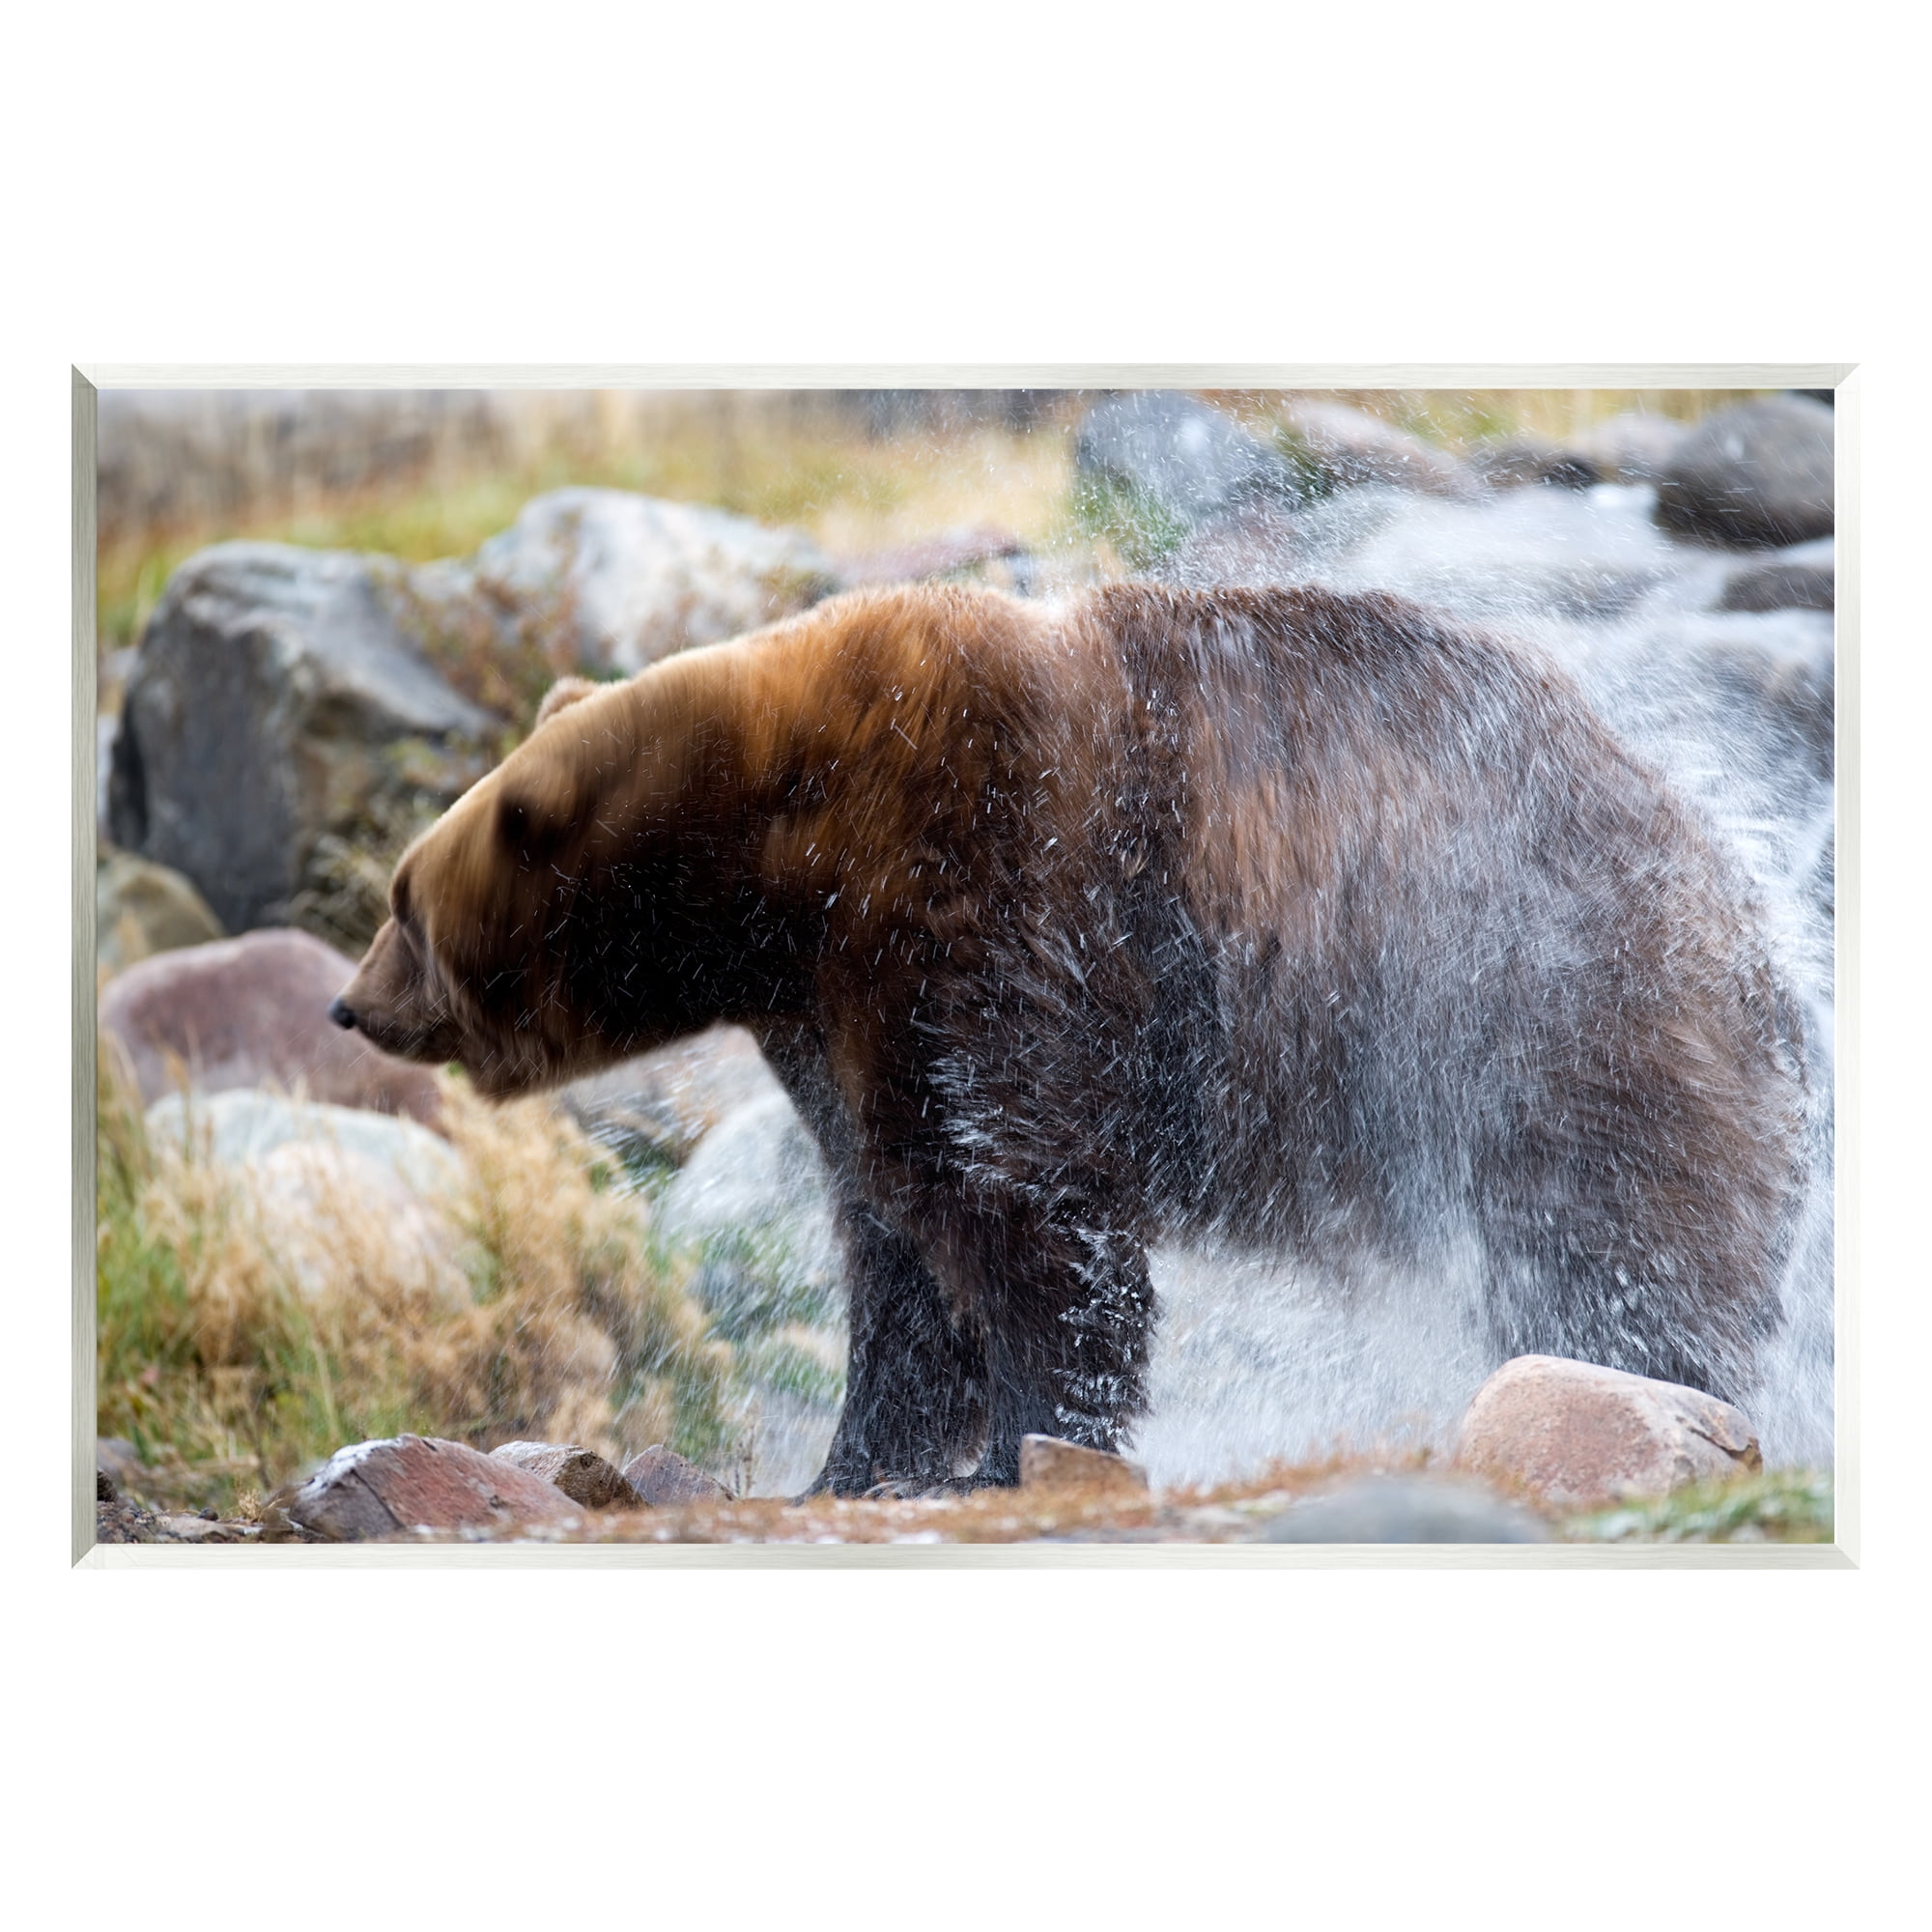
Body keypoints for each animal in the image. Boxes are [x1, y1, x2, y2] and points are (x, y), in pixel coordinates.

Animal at [330, 581, 1808, 1495]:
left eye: (401, 902)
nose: (348, 1004)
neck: (774, 863)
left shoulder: (980, 880)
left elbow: (1023, 1205)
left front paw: (1020, 1442)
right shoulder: (829, 1016)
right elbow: (893, 1236)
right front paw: (857, 1458)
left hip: (1553, 1025)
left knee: (1613, 1260)